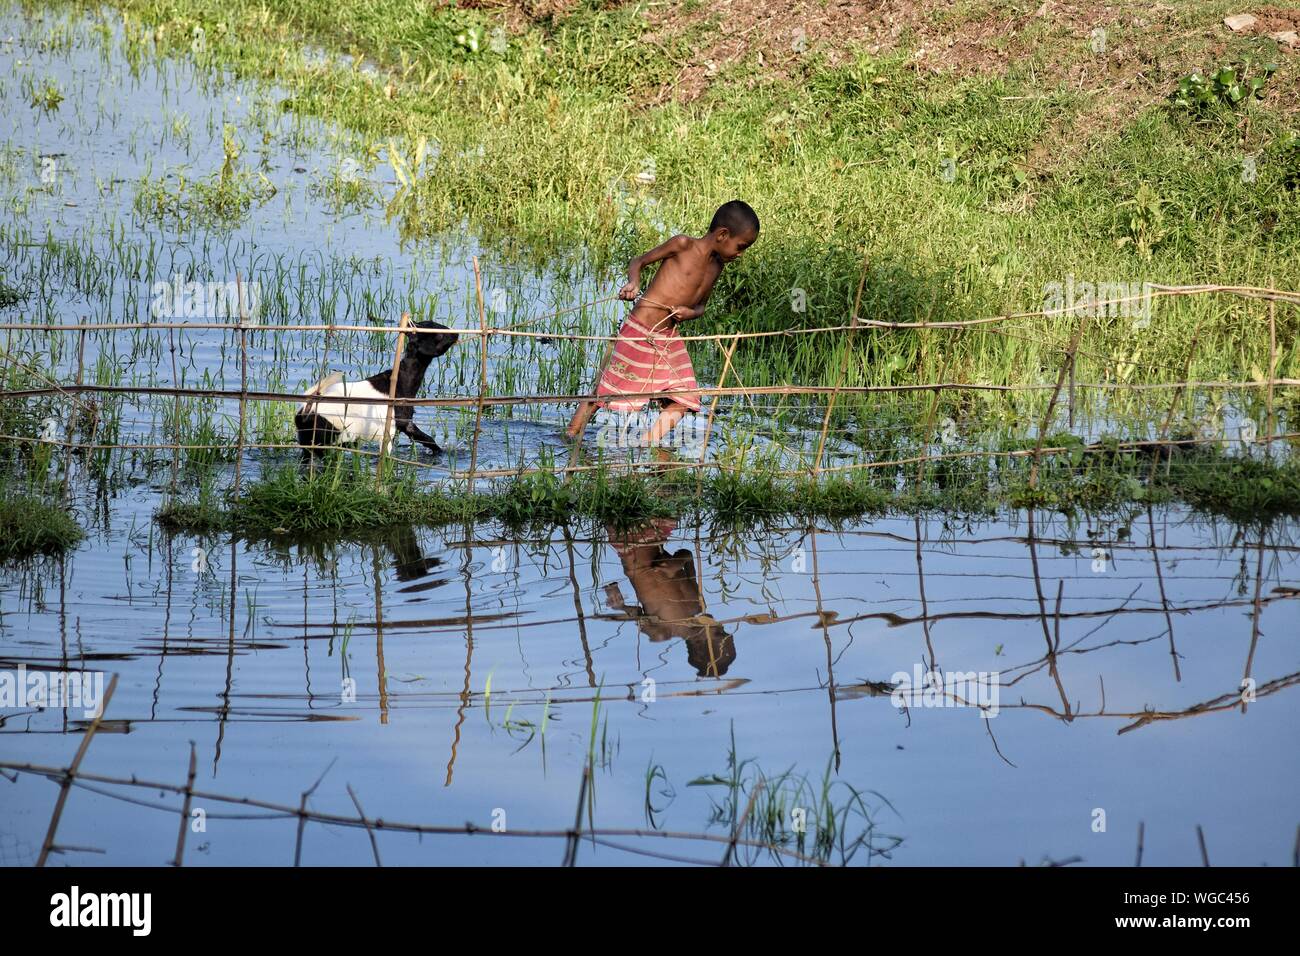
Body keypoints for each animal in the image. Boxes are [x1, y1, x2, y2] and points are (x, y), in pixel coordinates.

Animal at [295, 320, 457, 461]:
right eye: (438, 335)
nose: (456, 334)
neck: (399, 381)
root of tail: (305, 412)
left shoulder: (405, 422)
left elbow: (427, 439)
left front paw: (440, 452)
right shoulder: (390, 427)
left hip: (308, 440)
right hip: (329, 434)